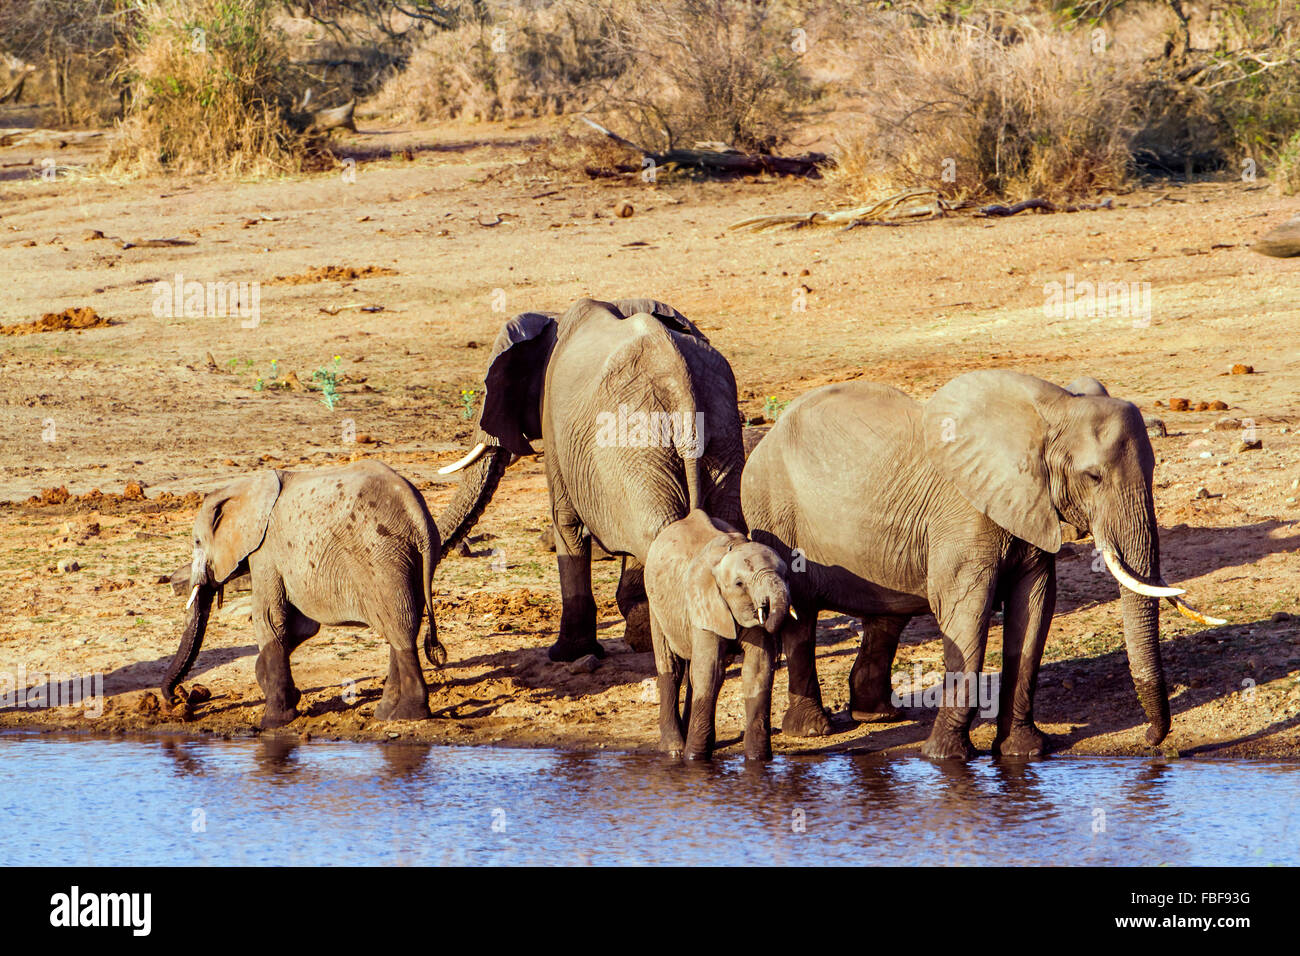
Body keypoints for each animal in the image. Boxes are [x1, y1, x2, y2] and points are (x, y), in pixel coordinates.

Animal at [163, 460, 446, 729]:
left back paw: (409, 715)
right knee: (400, 625)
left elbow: (269, 619)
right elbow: (301, 627)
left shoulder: (265, 551)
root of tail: (416, 513)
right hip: (410, 558)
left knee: (399, 627)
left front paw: (273, 722)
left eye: (197, 542)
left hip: (381, 555)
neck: (244, 487)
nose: (178, 697)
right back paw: (386, 714)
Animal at [436, 297, 746, 662]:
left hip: (631, 438)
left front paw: (565, 654)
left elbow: (566, 522)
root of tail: (679, 383)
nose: (439, 654)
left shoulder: (556, 426)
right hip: (716, 434)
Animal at [644, 509, 791, 760]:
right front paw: (694, 759)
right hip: (655, 603)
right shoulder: (704, 603)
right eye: (739, 584)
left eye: (786, 574)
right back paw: (674, 749)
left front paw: (759, 759)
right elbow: (709, 672)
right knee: (672, 666)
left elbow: (757, 671)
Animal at [741, 369, 1221, 759]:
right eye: (1093, 477)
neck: (1053, 408)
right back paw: (812, 731)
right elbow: (965, 613)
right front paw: (944, 758)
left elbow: (1034, 610)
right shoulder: (966, 514)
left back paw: (877, 716)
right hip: (773, 511)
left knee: (886, 615)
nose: (1151, 742)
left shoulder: (1029, 508)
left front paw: (1024, 752)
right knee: (801, 613)